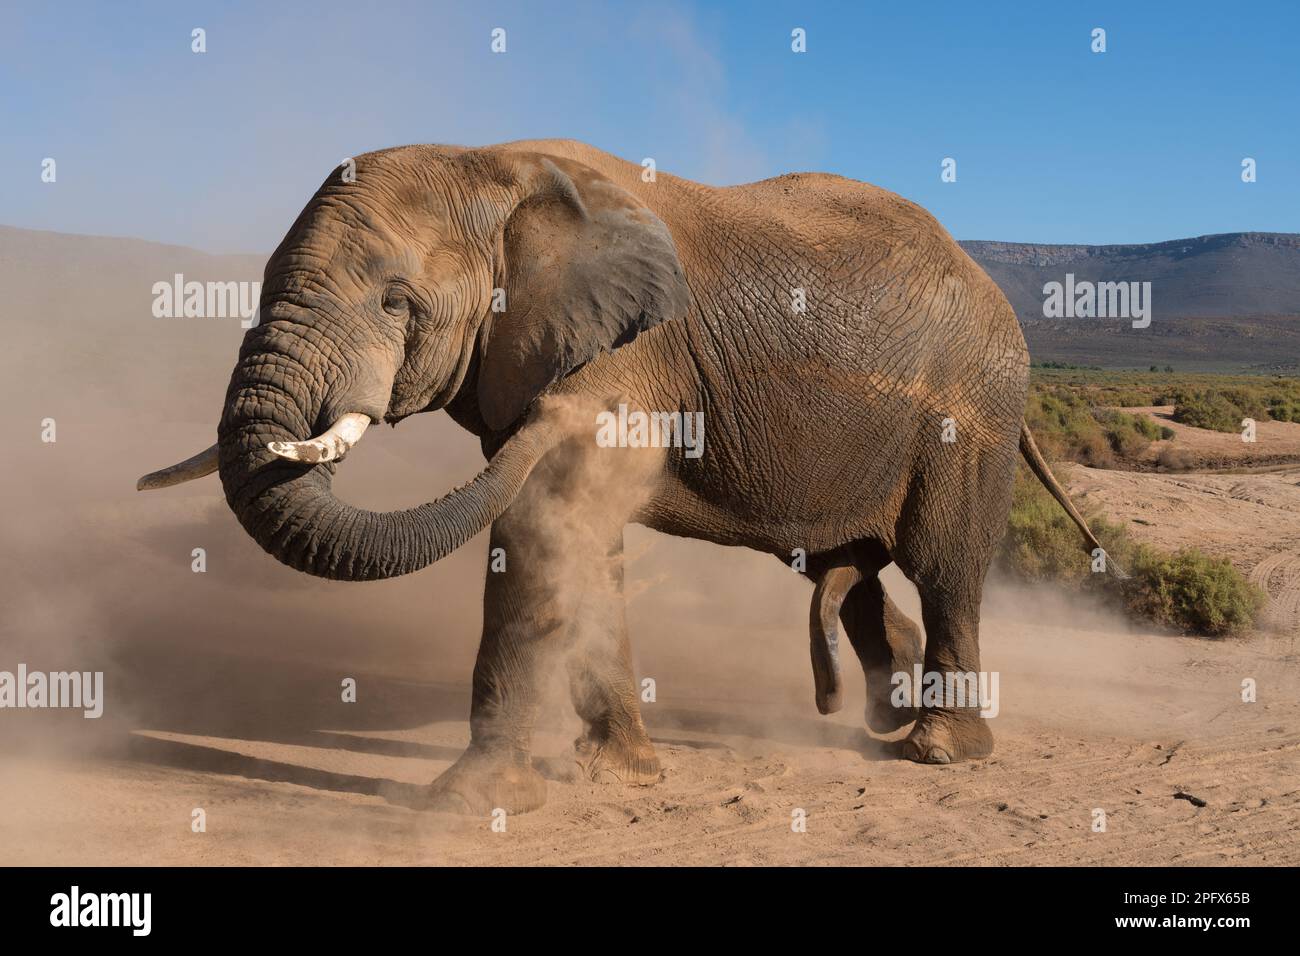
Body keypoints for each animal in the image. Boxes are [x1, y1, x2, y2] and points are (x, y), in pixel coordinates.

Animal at [140, 139, 1106, 814]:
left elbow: (541, 526)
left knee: (944, 566)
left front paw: (466, 806)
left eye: (395, 301)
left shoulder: (620, 357)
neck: (491, 164)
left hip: (973, 413)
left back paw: (936, 750)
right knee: (850, 569)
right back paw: (886, 703)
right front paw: (620, 774)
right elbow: (579, 541)